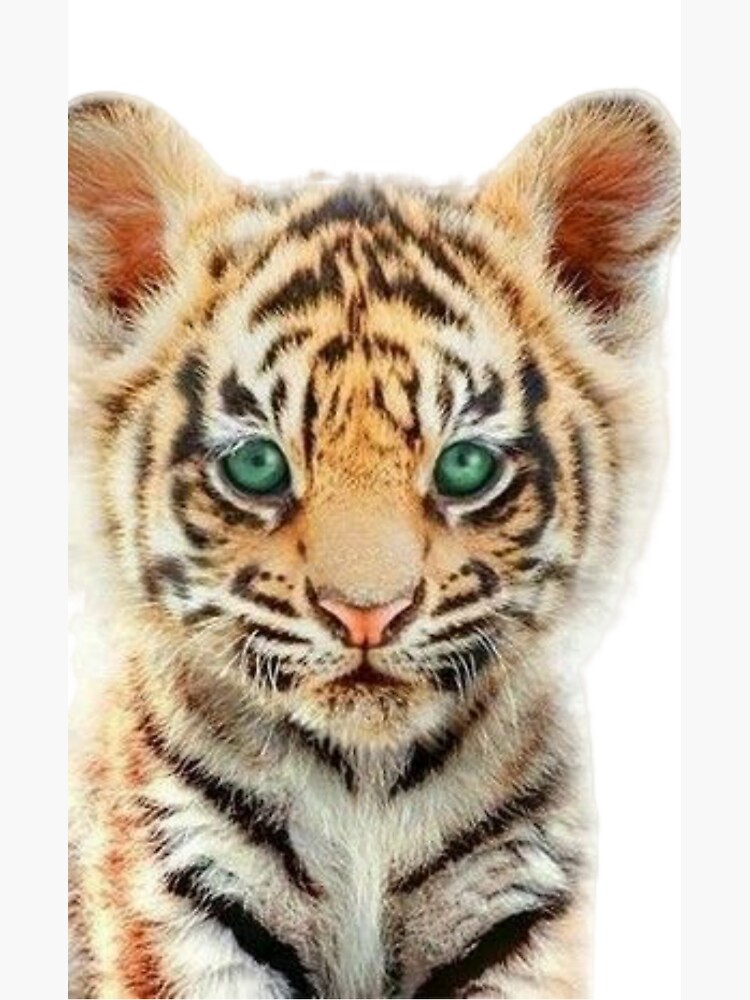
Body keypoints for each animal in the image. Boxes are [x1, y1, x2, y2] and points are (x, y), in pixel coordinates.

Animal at [68, 90, 680, 999]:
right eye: (258, 465)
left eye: (464, 466)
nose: (366, 615)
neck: (367, 788)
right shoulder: (179, 890)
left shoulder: (524, 905)